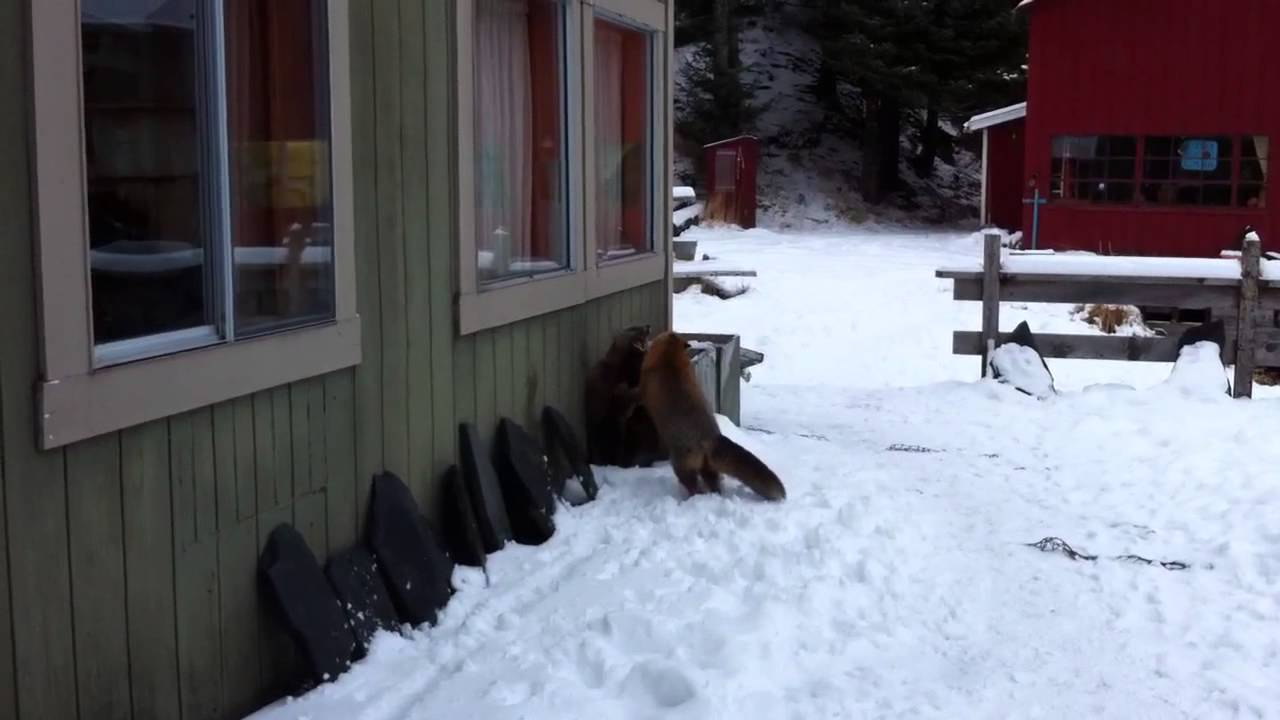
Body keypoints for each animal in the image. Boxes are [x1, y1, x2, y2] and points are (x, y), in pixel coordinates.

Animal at [639, 331, 786, 501]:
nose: (647, 338)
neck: (669, 359)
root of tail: (711, 437)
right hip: (709, 469)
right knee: (715, 487)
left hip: (682, 466)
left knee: (694, 487)